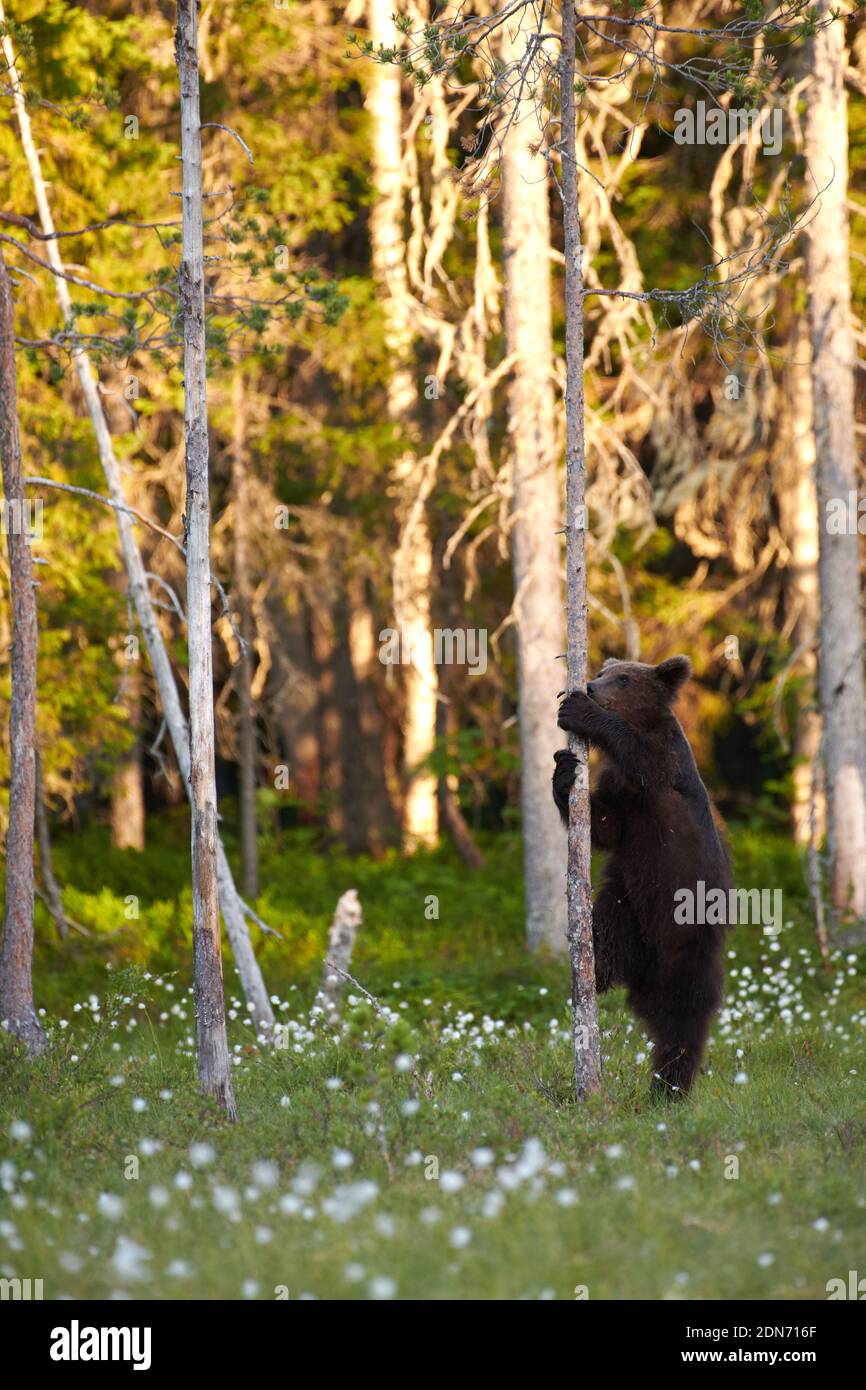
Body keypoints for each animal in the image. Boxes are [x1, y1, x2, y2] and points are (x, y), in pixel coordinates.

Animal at [552, 655, 731, 1096]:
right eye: (602, 672)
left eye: (624, 679)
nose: (591, 686)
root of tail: (646, 978)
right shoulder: (623, 798)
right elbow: (605, 824)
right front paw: (564, 771)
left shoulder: (662, 765)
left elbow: (640, 756)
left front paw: (578, 710)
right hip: (631, 906)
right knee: (610, 917)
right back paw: (593, 968)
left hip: (691, 946)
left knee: (683, 1025)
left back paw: (669, 1089)